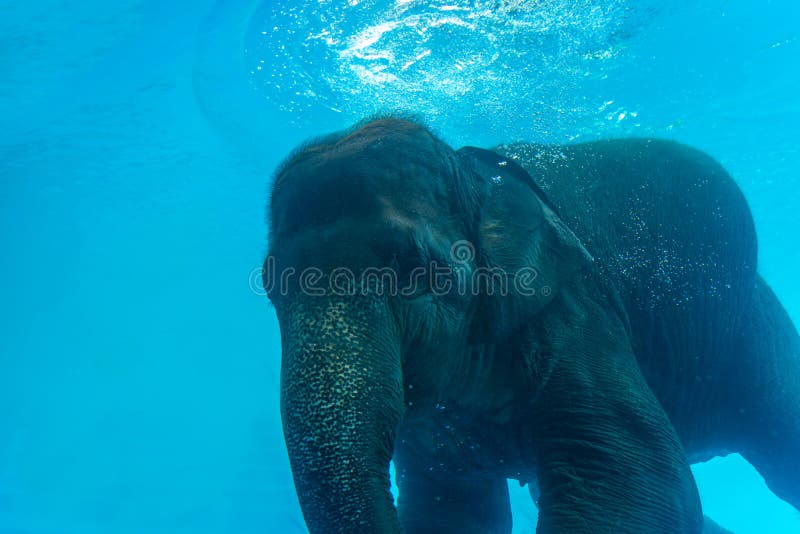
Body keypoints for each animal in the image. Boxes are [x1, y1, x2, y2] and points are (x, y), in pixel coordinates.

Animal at [264, 117, 799, 533]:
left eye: (413, 266)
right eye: (270, 288)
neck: (476, 180)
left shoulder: (573, 309)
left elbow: (635, 475)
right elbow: (452, 510)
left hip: (757, 331)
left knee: (781, 447)